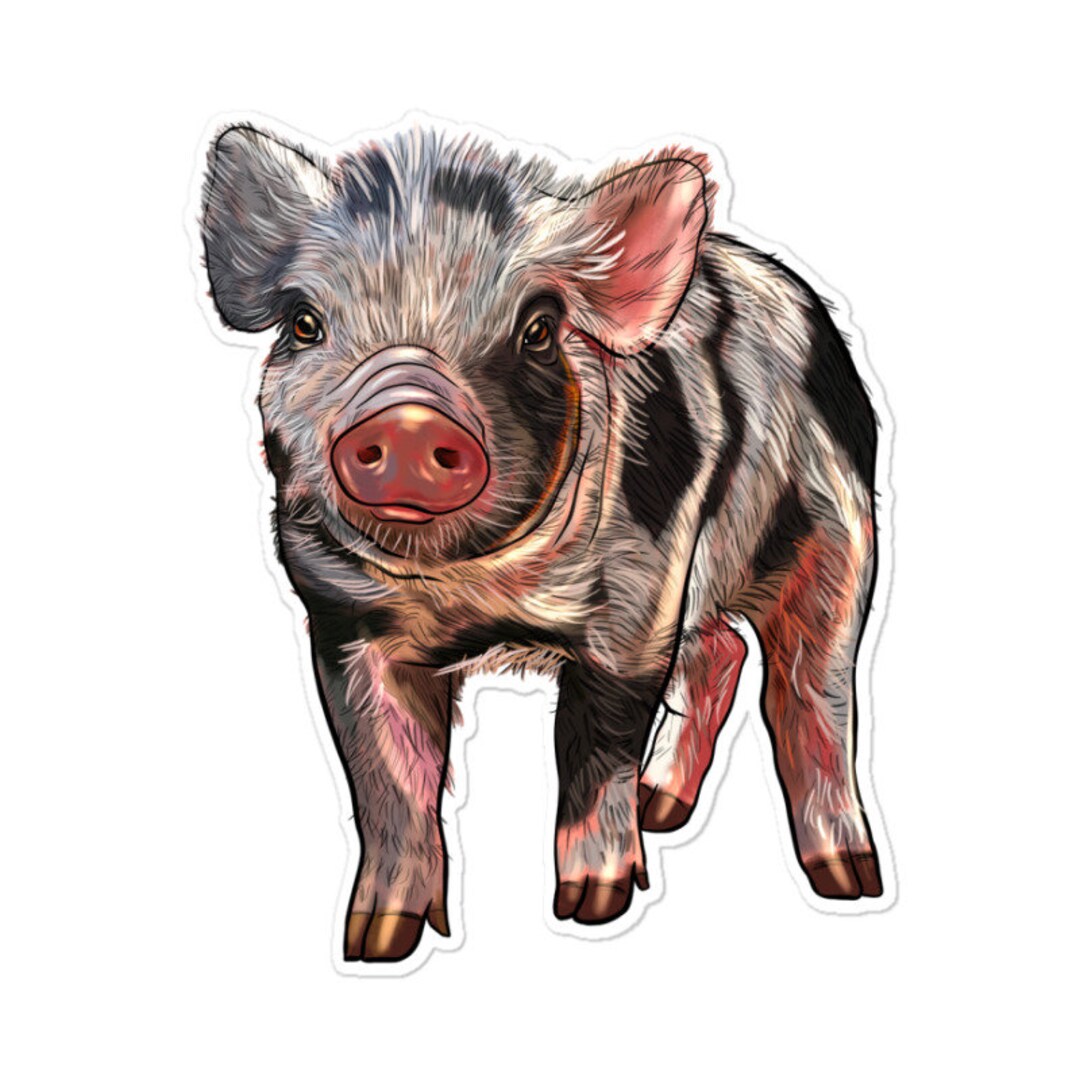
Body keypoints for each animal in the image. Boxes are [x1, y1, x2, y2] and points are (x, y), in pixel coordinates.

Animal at [200, 122, 884, 962]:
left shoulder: (633, 613)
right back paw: (661, 810)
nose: (409, 418)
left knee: (812, 692)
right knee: (721, 652)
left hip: (837, 537)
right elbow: (388, 784)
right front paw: (376, 941)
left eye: (538, 330)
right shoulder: (341, 625)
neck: (467, 593)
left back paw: (847, 879)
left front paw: (592, 908)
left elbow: (593, 756)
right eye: (304, 322)